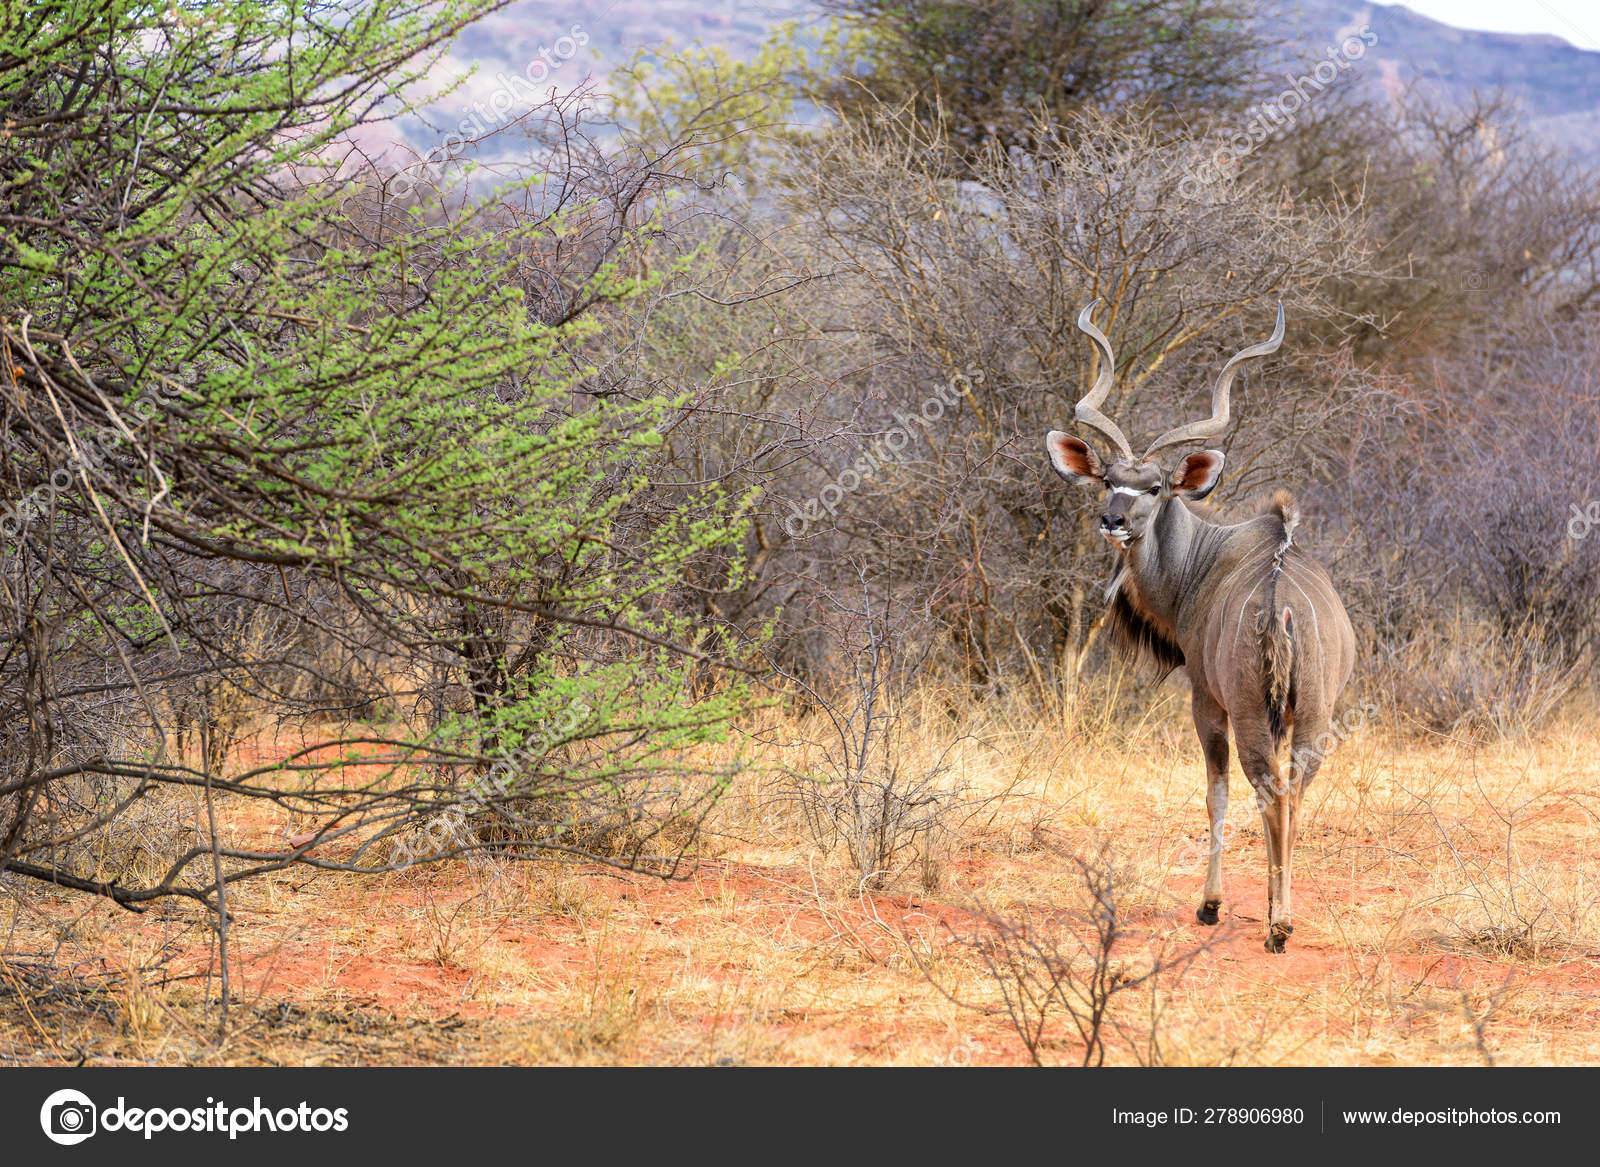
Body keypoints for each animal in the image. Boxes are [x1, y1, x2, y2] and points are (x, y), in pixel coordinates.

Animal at [1046, 302, 1354, 953]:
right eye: (1107, 478)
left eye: (1156, 486)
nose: (1112, 519)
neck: (1204, 559)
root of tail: (1282, 609)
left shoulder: (1206, 701)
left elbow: (1216, 794)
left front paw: (1210, 905)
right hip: (1314, 716)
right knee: (1295, 792)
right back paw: (1281, 912)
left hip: (1248, 713)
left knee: (1268, 790)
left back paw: (1279, 927)